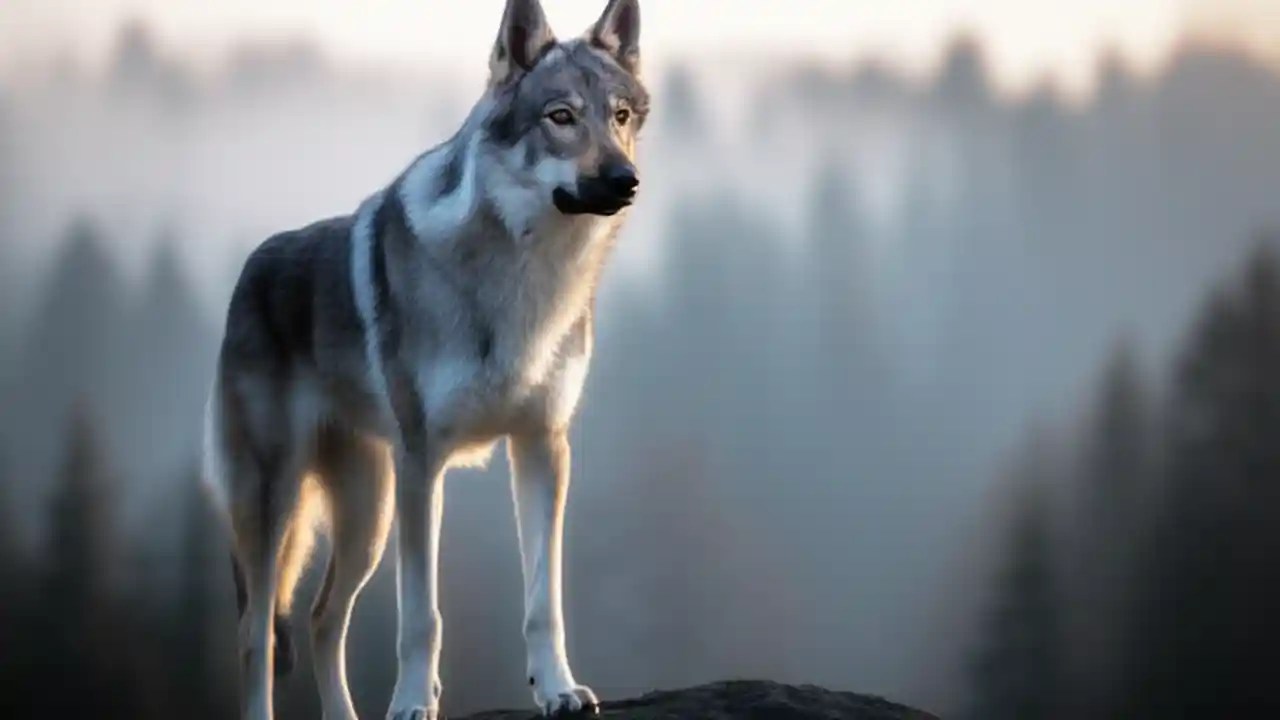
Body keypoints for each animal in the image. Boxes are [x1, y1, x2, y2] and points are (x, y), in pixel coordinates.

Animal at [200, 2, 647, 718]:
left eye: (621, 116)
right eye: (561, 116)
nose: (623, 181)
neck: (522, 274)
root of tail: (252, 268)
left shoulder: (542, 447)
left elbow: (543, 603)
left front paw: (556, 689)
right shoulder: (423, 463)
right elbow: (421, 617)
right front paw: (412, 701)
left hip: (367, 515)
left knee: (322, 619)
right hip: (282, 503)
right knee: (256, 633)